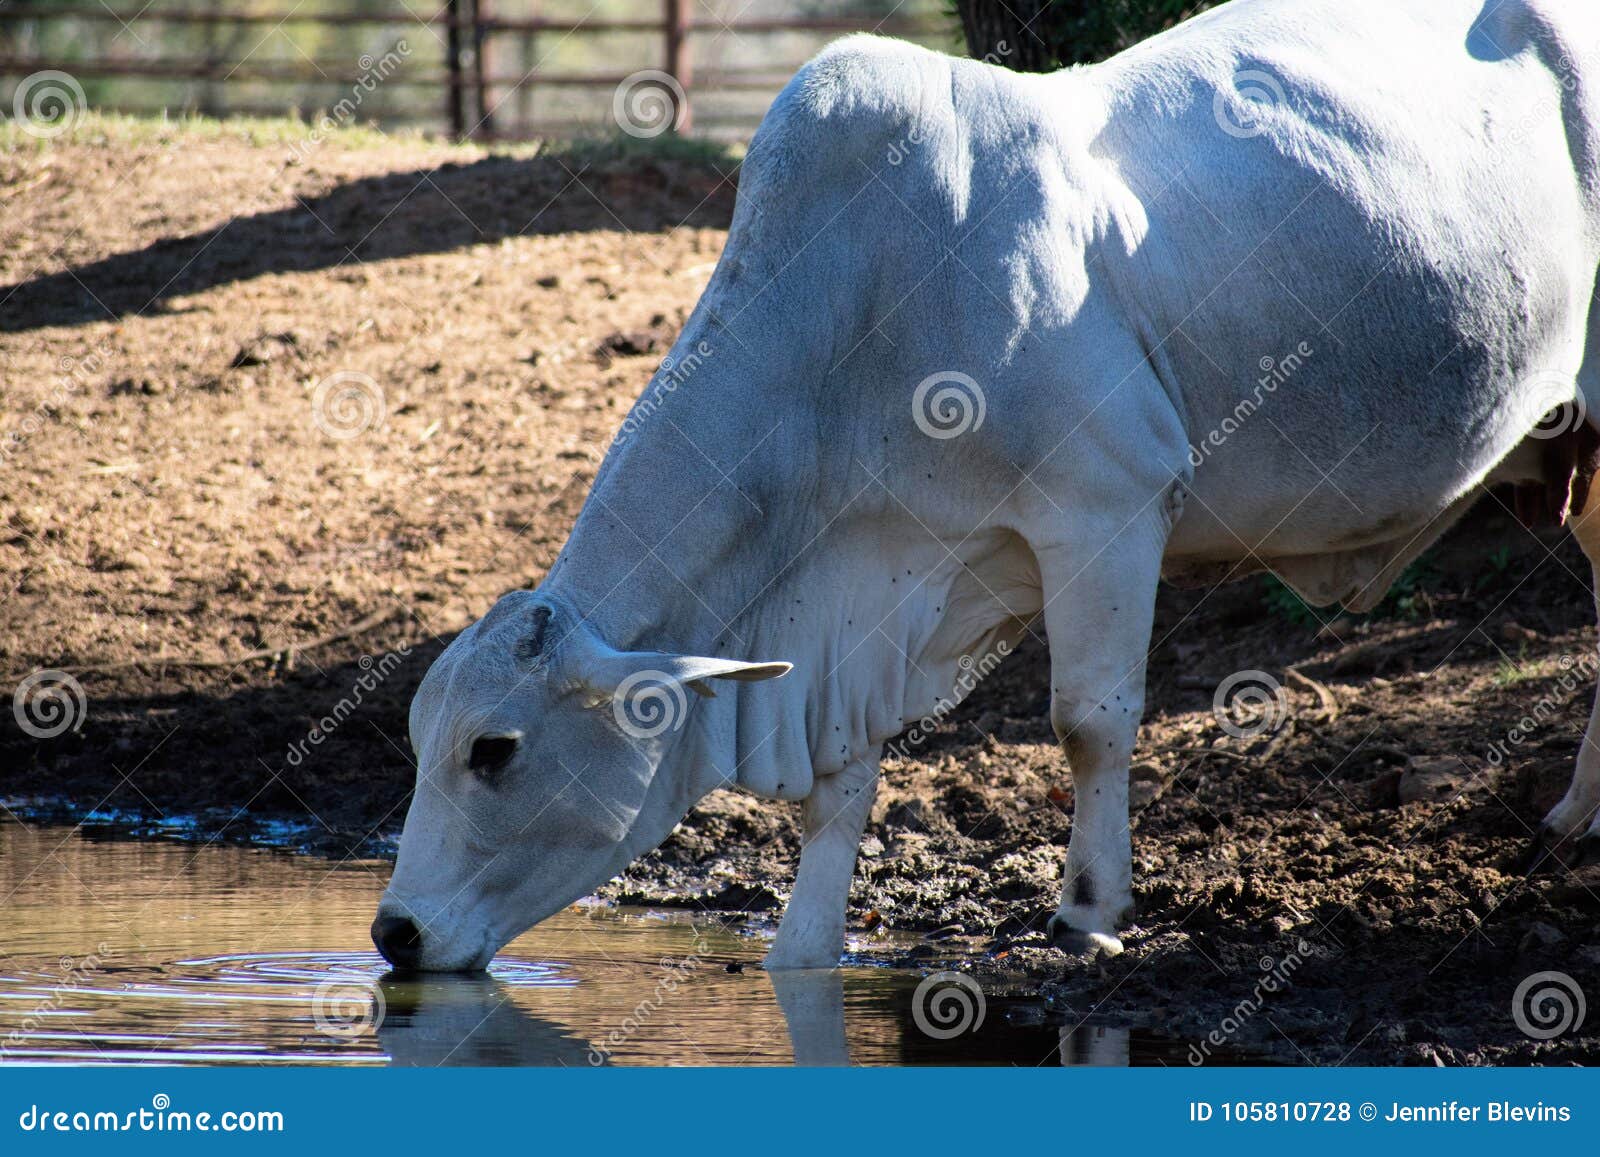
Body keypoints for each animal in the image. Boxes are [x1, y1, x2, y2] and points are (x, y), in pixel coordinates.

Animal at [373, 0, 1600, 972]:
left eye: (494, 748)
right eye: (419, 739)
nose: (392, 931)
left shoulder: (1106, 509)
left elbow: (1089, 723)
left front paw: (1089, 913)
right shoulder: (867, 595)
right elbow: (843, 781)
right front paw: (804, 946)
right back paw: (1574, 816)